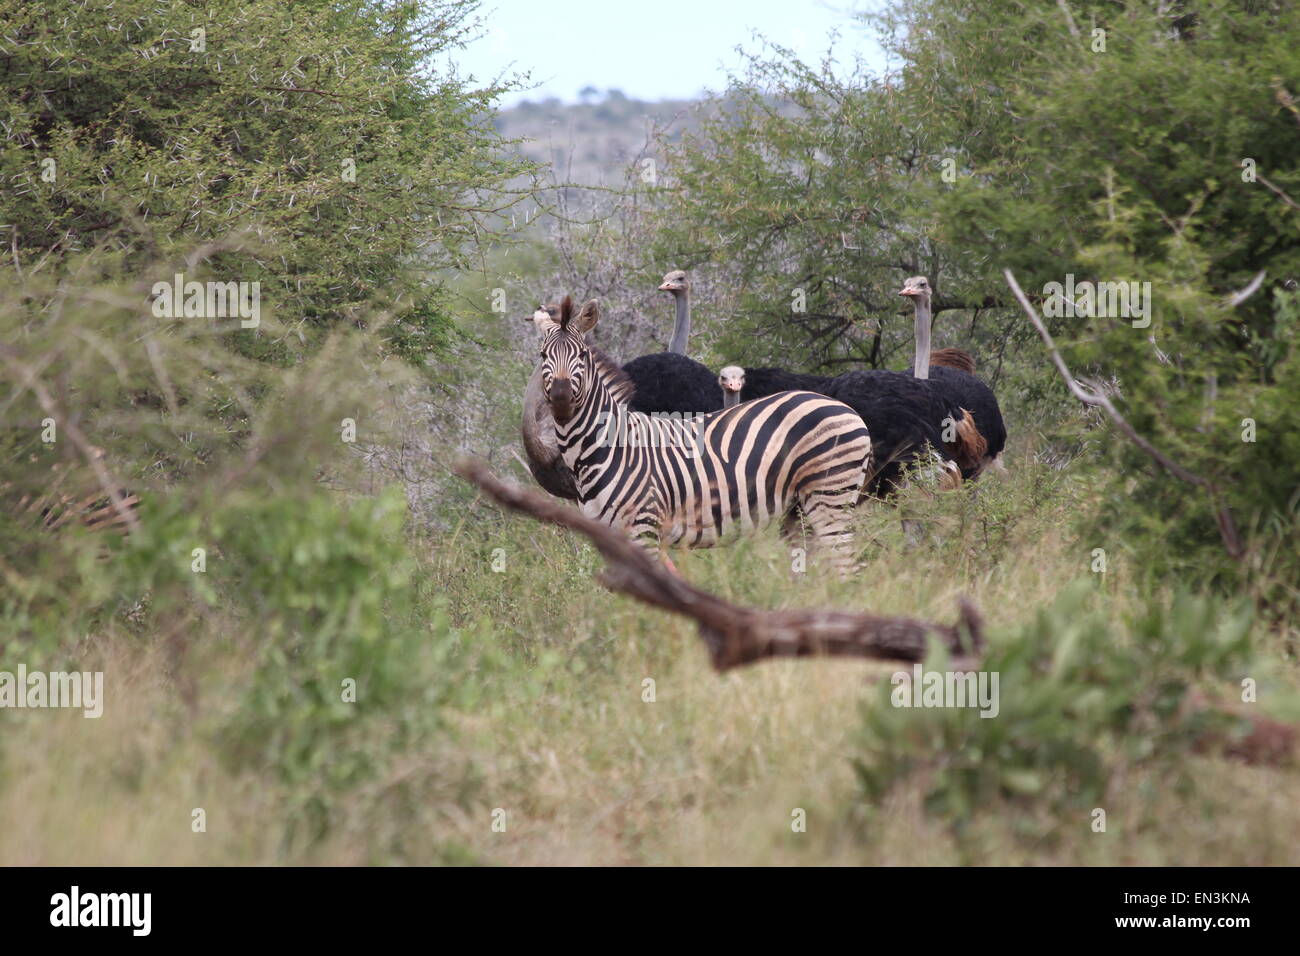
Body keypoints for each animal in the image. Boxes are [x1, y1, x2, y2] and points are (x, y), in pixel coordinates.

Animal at [532, 296, 873, 573]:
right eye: (542, 356)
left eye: (582, 356)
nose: (560, 398)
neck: (605, 448)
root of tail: (845, 407)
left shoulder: (645, 527)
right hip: (800, 510)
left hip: (830, 495)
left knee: (847, 568)